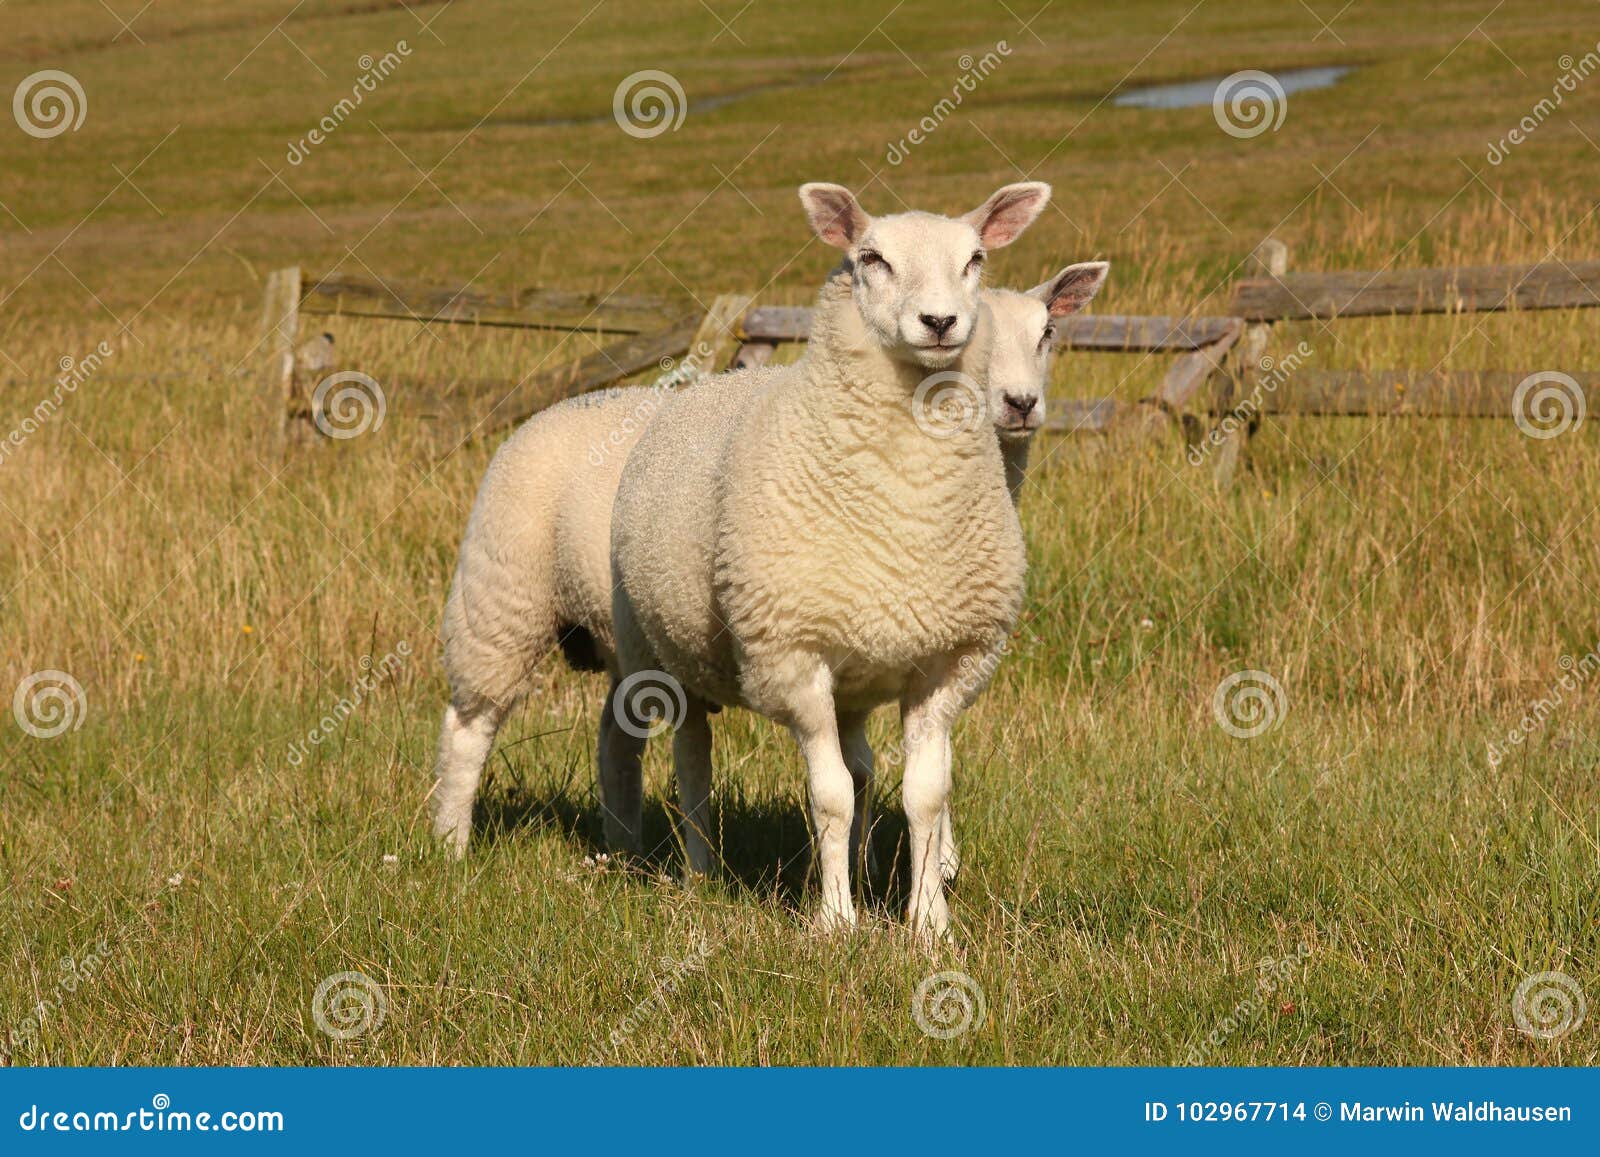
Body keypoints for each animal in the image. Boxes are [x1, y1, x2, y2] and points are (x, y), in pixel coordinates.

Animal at [610, 182, 1107, 939]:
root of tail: (706, 382)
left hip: (855, 664)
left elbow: (924, 792)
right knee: (693, 764)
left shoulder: (947, 660)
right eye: (871, 258)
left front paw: (929, 921)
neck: (908, 507)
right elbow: (830, 795)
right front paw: (836, 921)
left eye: (976, 258)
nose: (941, 321)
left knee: (861, 762)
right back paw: (702, 873)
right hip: (668, 653)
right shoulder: (795, 657)